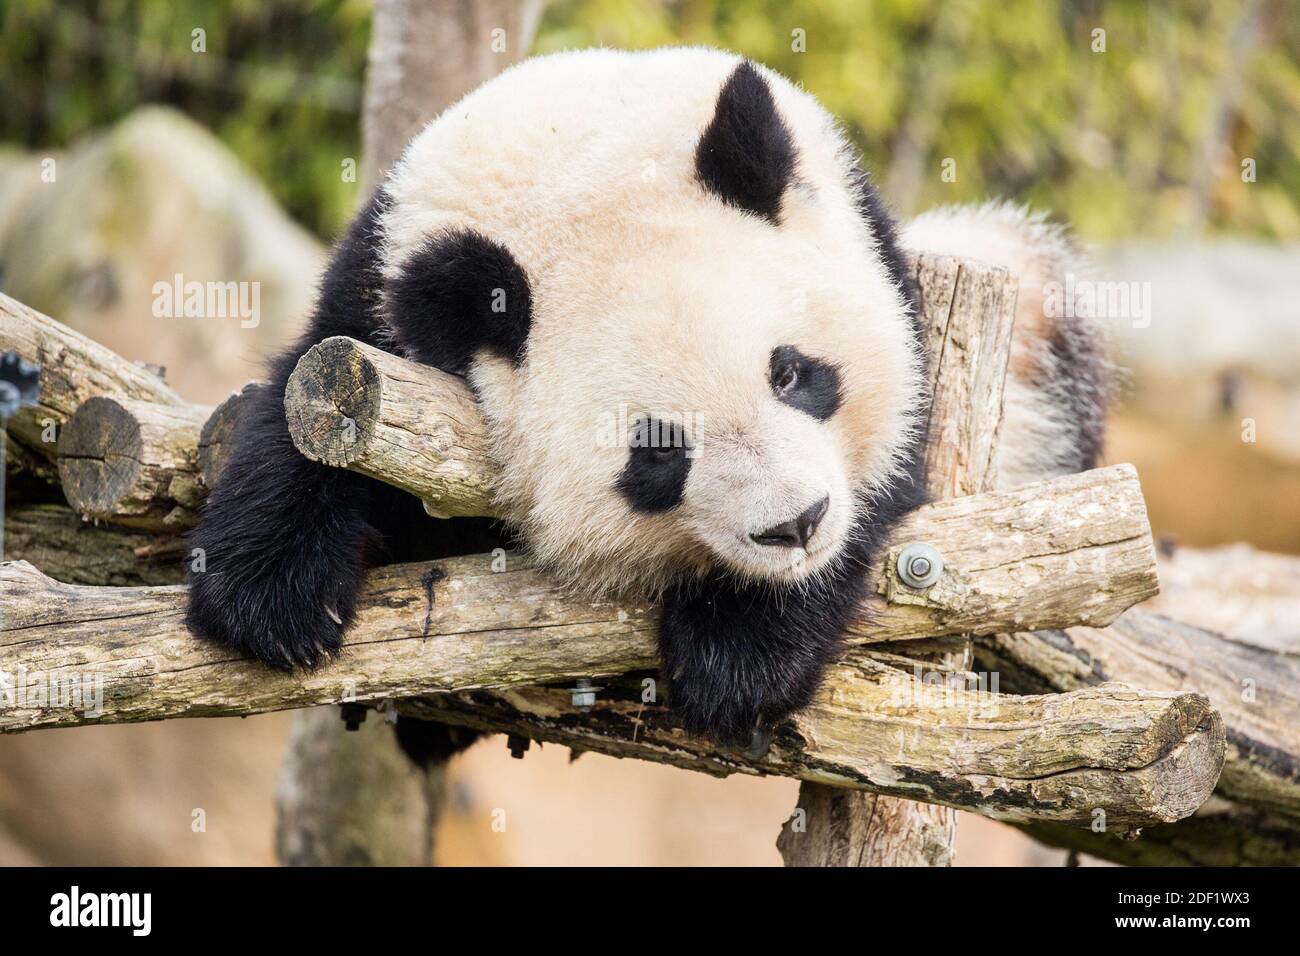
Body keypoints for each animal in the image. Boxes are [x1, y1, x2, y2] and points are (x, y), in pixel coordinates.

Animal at [187, 47, 1106, 752]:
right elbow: (314, 397)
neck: (574, 155)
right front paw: (270, 597)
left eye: (790, 373)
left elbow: (885, 474)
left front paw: (741, 661)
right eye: (661, 448)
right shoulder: (381, 280)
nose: (796, 526)